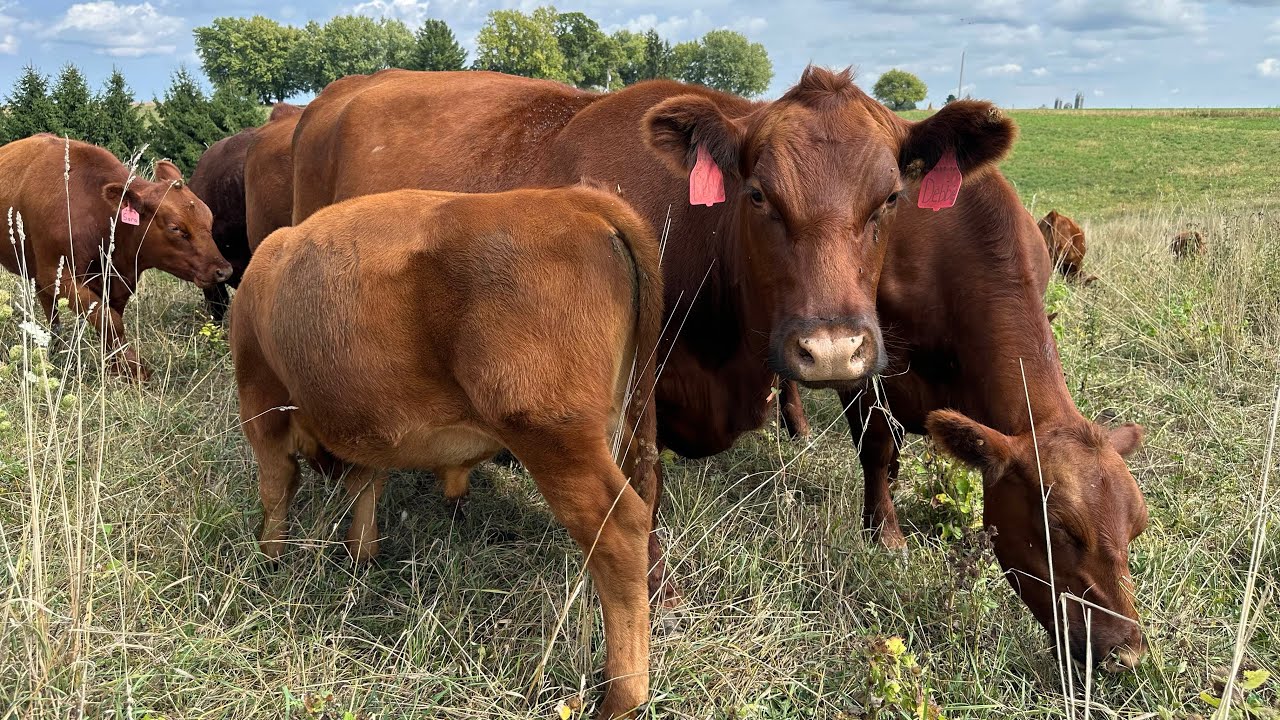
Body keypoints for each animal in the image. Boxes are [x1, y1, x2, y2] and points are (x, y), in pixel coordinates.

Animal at [0, 135, 231, 378]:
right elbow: (110, 321)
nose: (223, 270)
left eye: (209, 218)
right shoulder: (57, 275)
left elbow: (111, 320)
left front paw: (115, 367)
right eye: (175, 228)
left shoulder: (120, 281)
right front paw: (134, 368)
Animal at [231, 185, 662, 719]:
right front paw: (361, 555)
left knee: (618, 529)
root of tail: (571, 198)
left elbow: (276, 487)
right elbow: (365, 483)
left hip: (555, 439)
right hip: (618, 427)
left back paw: (622, 696)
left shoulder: (262, 403)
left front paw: (270, 558)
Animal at [289, 67, 1017, 601]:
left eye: (890, 198)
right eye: (758, 195)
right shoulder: (641, 390)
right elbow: (645, 484)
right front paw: (656, 586)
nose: (831, 347)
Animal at [779, 169, 1148, 669]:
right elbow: (876, 447)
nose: (1128, 653)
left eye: (1137, 526)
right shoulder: (860, 360)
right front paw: (883, 533)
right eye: (1060, 528)